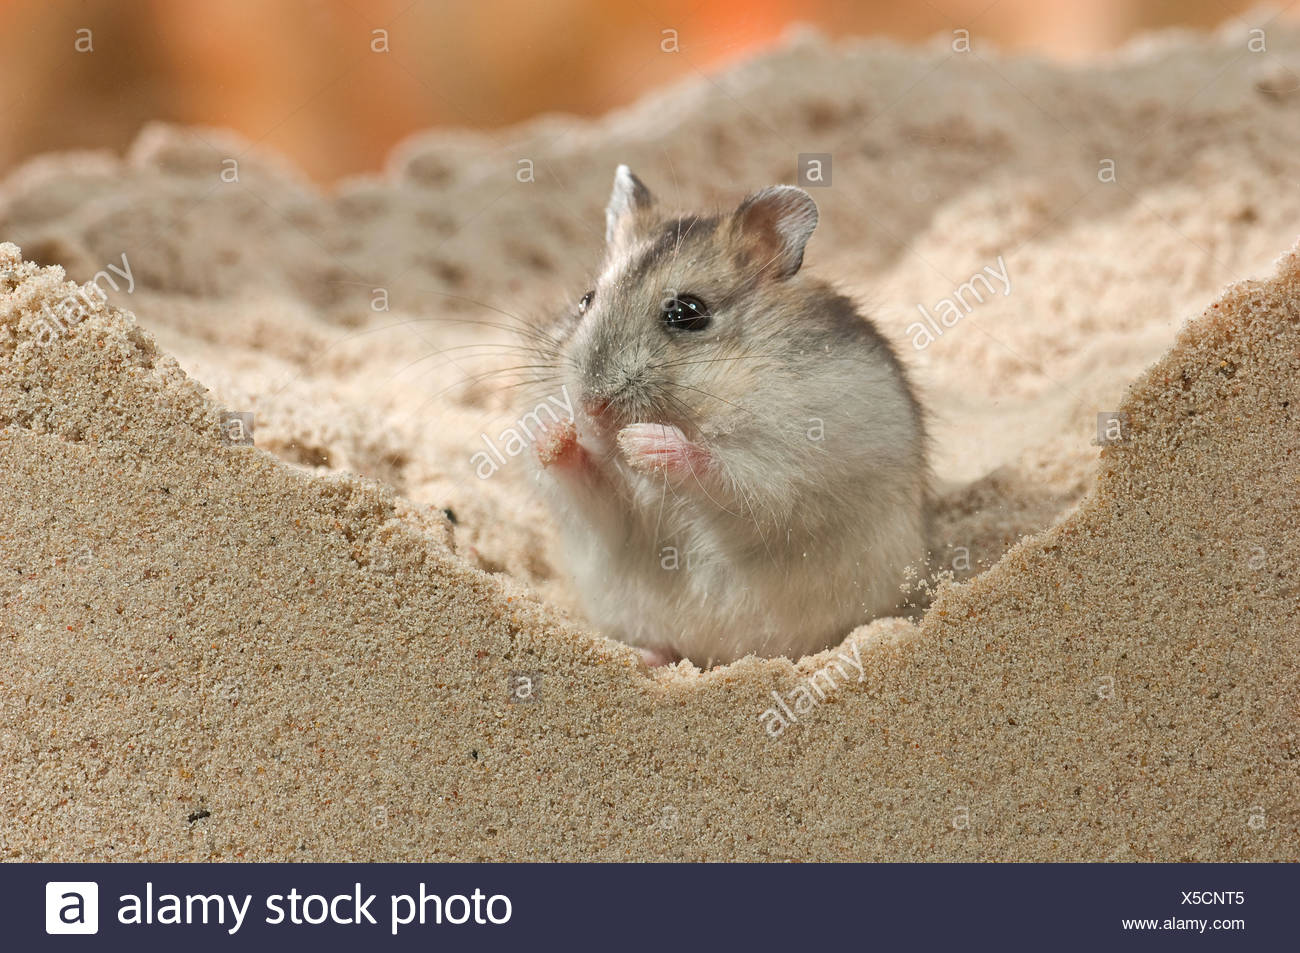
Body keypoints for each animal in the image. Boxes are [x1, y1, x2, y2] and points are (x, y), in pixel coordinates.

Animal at [524, 165, 929, 667]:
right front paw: (552, 434)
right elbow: (594, 494)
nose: (590, 408)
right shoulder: (608, 515)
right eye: (585, 299)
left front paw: (645, 443)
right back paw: (645, 657)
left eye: (687, 312)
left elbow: (725, 475)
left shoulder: (786, 471)